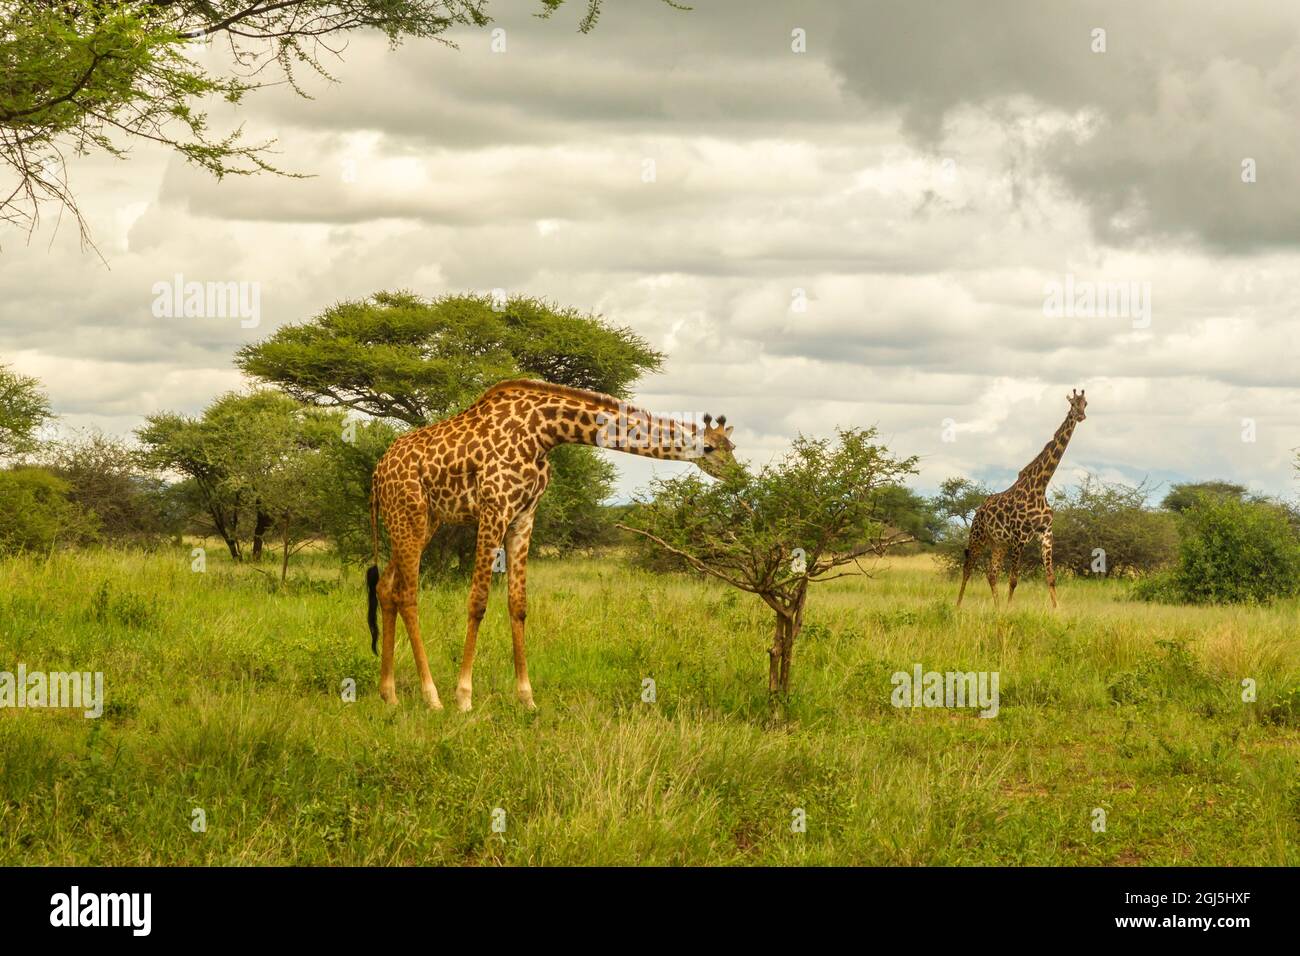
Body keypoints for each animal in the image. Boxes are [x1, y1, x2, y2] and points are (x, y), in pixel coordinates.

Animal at [366, 378, 737, 711]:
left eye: (732, 449)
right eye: (709, 448)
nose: (737, 476)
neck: (544, 431)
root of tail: (377, 473)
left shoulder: (524, 515)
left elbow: (518, 605)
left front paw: (526, 699)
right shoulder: (494, 509)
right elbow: (478, 602)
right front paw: (464, 697)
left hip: (424, 521)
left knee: (386, 587)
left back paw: (389, 694)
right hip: (409, 515)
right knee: (407, 594)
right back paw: (432, 698)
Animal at [956, 389, 1087, 609]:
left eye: (1085, 403)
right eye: (1072, 403)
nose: (1081, 416)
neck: (1040, 486)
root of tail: (979, 510)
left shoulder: (1046, 534)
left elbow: (1050, 578)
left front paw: (1057, 610)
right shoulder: (1019, 537)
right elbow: (1013, 579)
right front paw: (1010, 609)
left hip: (998, 543)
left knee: (991, 573)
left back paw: (997, 608)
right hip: (977, 537)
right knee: (968, 568)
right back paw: (957, 605)